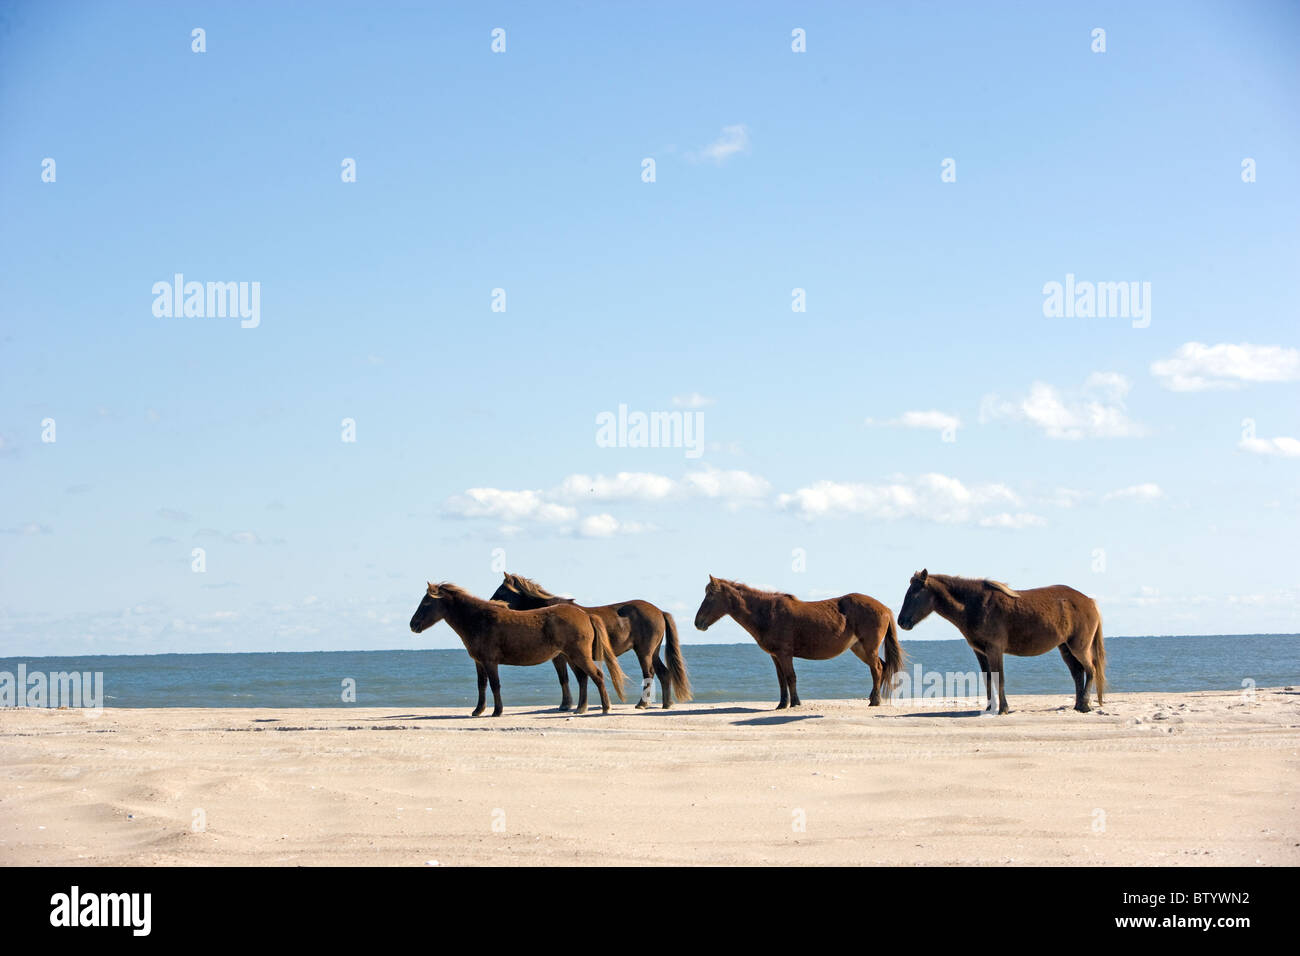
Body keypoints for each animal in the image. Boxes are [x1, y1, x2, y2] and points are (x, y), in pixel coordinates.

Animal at [409, 582, 627, 716]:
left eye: (426, 602)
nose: (413, 624)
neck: (479, 619)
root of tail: (585, 614)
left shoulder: (490, 662)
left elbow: (495, 685)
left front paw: (497, 711)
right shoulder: (479, 663)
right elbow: (482, 685)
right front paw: (478, 710)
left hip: (579, 656)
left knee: (597, 676)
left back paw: (605, 708)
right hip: (571, 657)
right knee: (583, 678)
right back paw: (580, 708)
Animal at [490, 572, 692, 710]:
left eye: (501, 590)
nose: (492, 604)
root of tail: (659, 611)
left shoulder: (561, 657)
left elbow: (567, 678)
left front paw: (567, 705)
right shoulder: (568, 657)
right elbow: (573, 678)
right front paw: (572, 705)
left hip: (644, 652)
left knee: (649, 673)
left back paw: (642, 703)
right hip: (653, 652)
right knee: (664, 673)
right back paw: (667, 703)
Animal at [693, 575, 905, 709]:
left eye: (710, 595)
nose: (698, 622)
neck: (767, 613)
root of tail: (884, 608)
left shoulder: (785, 654)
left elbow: (791, 677)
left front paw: (795, 703)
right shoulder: (775, 656)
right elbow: (781, 680)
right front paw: (781, 704)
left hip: (868, 648)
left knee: (877, 669)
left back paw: (875, 701)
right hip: (859, 648)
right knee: (881, 667)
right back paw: (873, 697)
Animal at [896, 569, 1106, 714]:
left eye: (915, 593)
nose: (901, 622)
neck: (975, 604)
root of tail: (1089, 601)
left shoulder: (994, 650)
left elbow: (1000, 678)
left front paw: (1003, 708)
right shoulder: (981, 652)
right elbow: (988, 679)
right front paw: (990, 707)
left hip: (1079, 647)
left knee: (1090, 670)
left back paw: (1084, 705)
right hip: (1065, 648)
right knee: (1078, 673)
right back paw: (1079, 705)